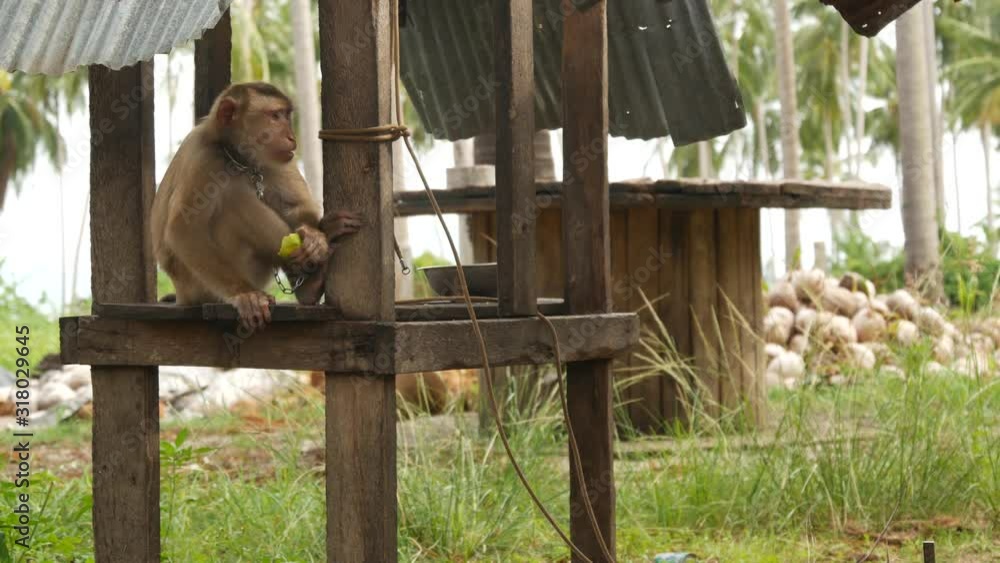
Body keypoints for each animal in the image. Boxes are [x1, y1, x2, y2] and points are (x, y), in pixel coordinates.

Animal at [150, 82, 361, 330]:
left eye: (286, 115)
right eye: (274, 116)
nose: (291, 137)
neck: (234, 156)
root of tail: (182, 296)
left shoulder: (277, 158)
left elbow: (295, 205)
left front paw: (315, 238)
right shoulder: (203, 159)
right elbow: (183, 228)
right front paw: (244, 294)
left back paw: (314, 270)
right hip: (199, 285)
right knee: (235, 199)